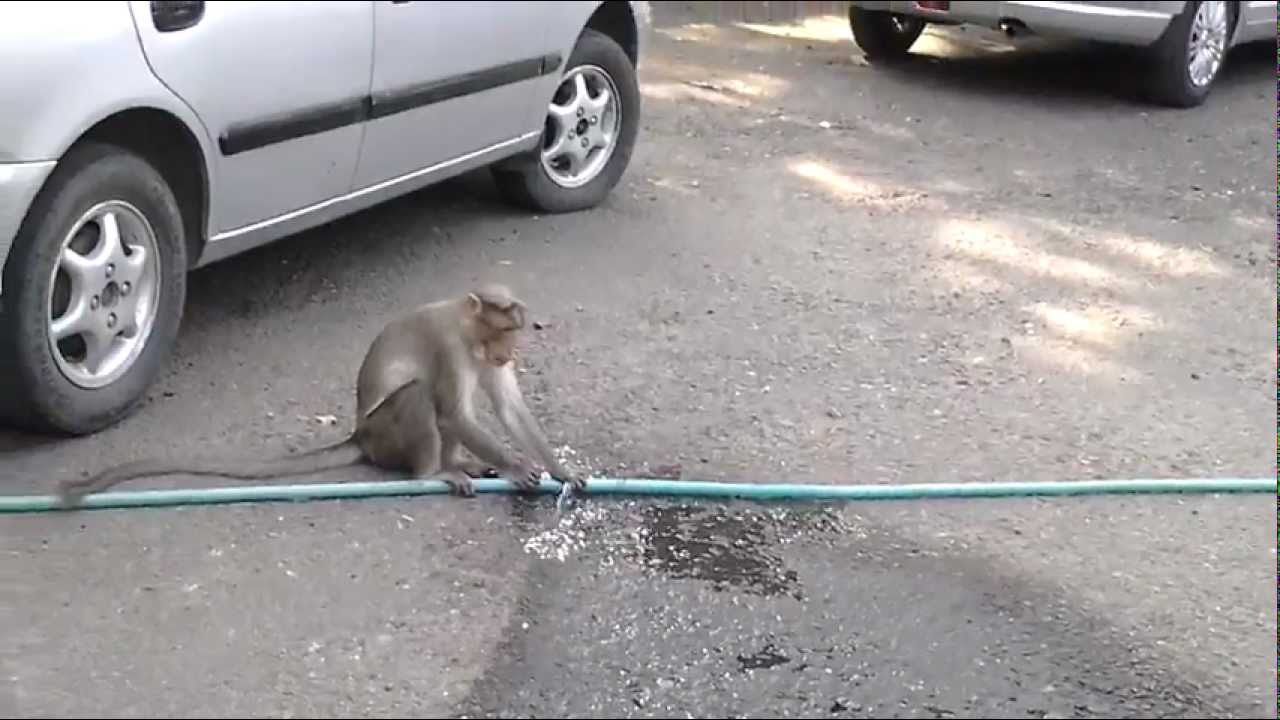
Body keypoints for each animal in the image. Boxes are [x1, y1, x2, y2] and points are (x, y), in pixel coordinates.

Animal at [56, 284, 584, 507]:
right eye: (502, 328)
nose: (508, 351)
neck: (470, 334)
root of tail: (359, 435)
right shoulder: (448, 345)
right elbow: (453, 411)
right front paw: (518, 466)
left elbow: (508, 408)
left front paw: (559, 469)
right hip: (383, 433)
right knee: (421, 397)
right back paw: (435, 471)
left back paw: (462, 463)